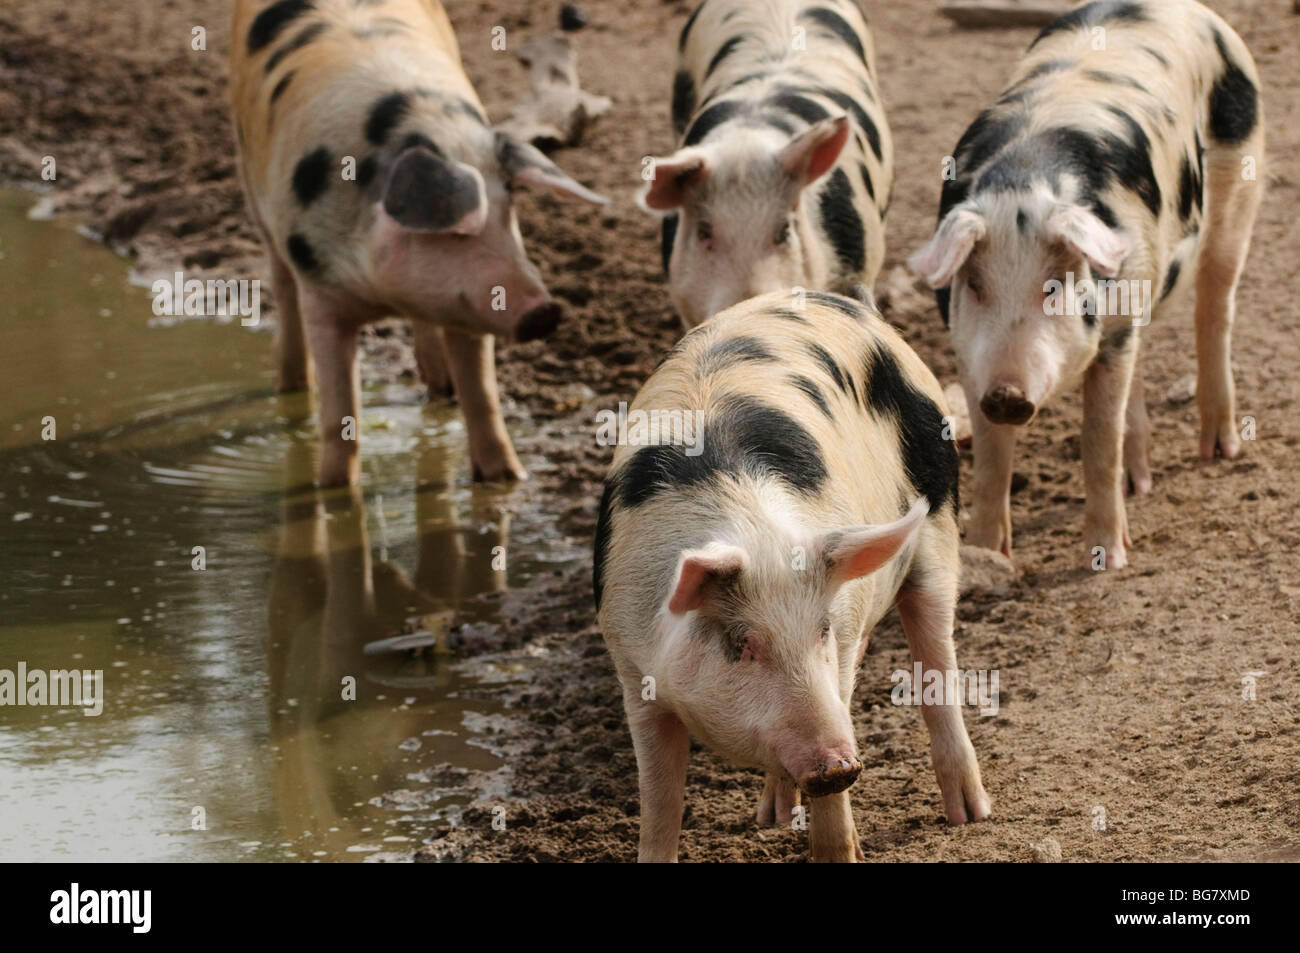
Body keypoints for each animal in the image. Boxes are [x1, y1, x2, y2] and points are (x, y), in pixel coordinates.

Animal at [230, 0, 606, 486]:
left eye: (511, 202)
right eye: (458, 231)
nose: (544, 310)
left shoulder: (471, 302)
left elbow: (482, 396)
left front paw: (507, 478)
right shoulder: (322, 293)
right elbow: (340, 417)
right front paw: (331, 489)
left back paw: (440, 387)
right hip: (249, 173)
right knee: (280, 280)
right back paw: (292, 385)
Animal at [594, 290, 990, 862]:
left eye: (820, 631)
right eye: (742, 643)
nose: (840, 764)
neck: (753, 534)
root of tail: (849, 304)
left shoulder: (839, 647)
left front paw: (841, 851)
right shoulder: (632, 669)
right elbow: (661, 803)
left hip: (937, 527)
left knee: (937, 661)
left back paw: (970, 812)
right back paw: (772, 817)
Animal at [909, 0, 1264, 568]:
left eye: (1056, 285)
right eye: (975, 284)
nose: (1007, 393)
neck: (1025, 181)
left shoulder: (1108, 336)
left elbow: (1097, 440)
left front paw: (1108, 560)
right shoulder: (972, 351)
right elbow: (991, 459)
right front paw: (987, 554)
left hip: (1239, 183)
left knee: (1215, 307)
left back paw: (1219, 449)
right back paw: (1139, 481)